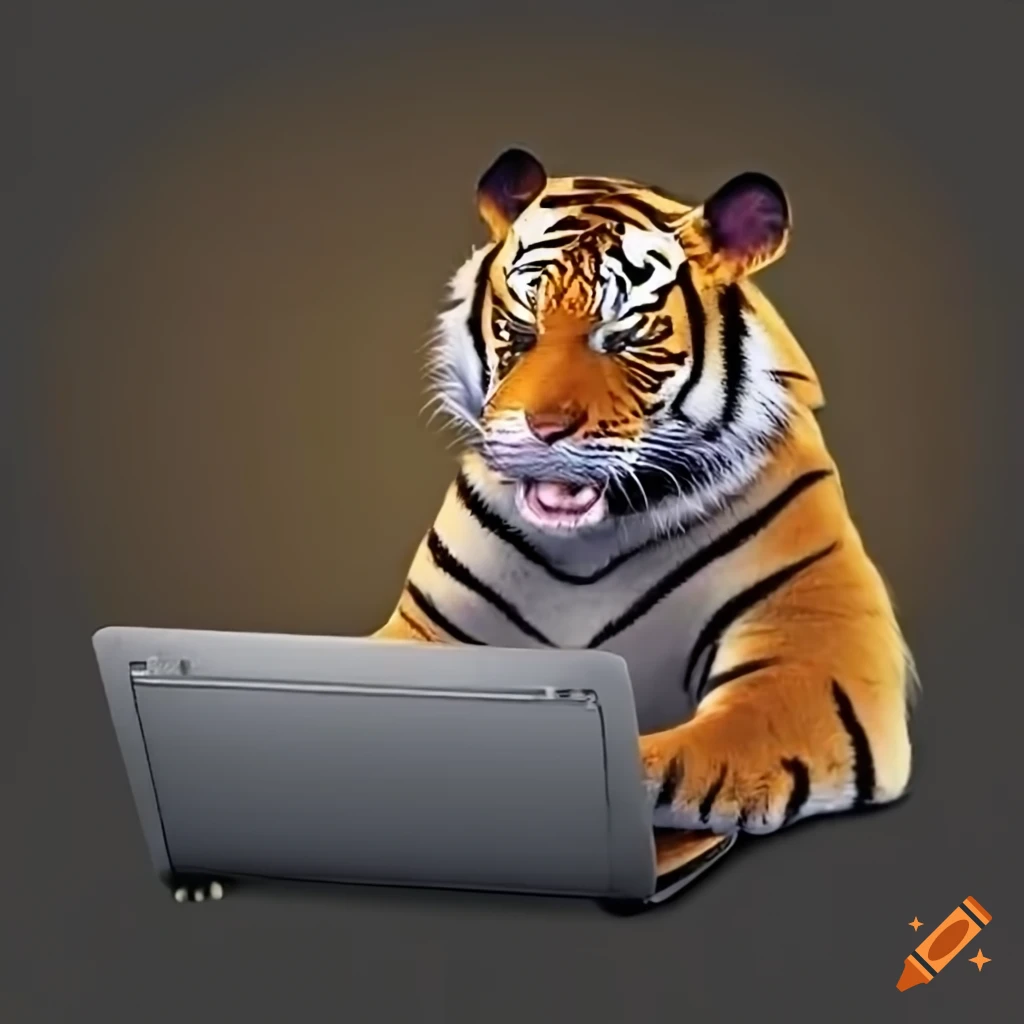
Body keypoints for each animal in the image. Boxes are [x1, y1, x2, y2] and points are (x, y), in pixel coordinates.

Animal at [371, 147, 916, 901]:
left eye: (624, 337)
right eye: (520, 329)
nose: (542, 429)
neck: (585, 550)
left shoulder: (813, 661)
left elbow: (674, 758)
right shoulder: (426, 635)